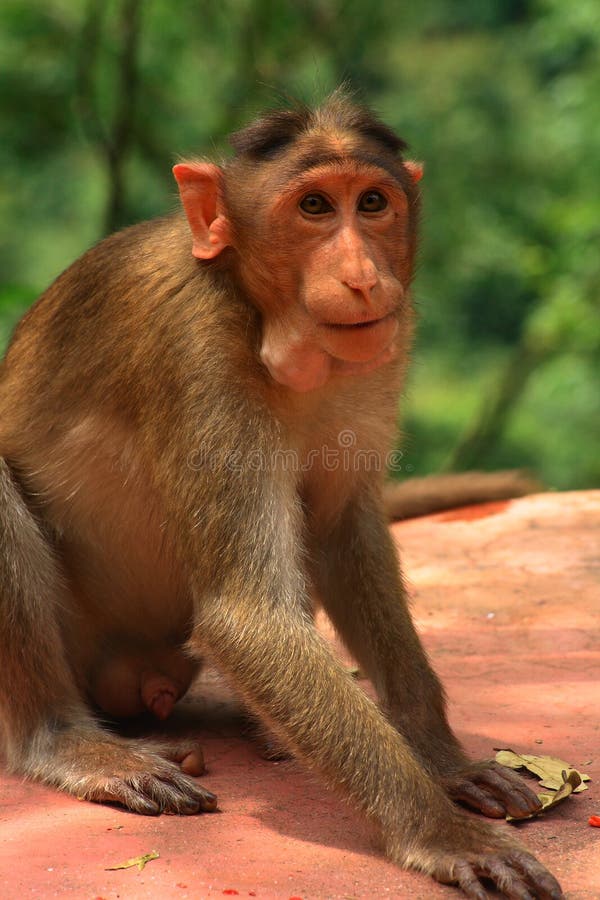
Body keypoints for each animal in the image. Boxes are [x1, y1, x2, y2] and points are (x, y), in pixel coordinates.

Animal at [0, 93, 562, 899]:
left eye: (372, 203)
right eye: (314, 207)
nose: (362, 277)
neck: (266, 320)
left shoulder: (385, 347)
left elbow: (343, 534)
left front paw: (441, 758)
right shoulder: (198, 350)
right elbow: (248, 616)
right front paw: (441, 830)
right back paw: (67, 741)